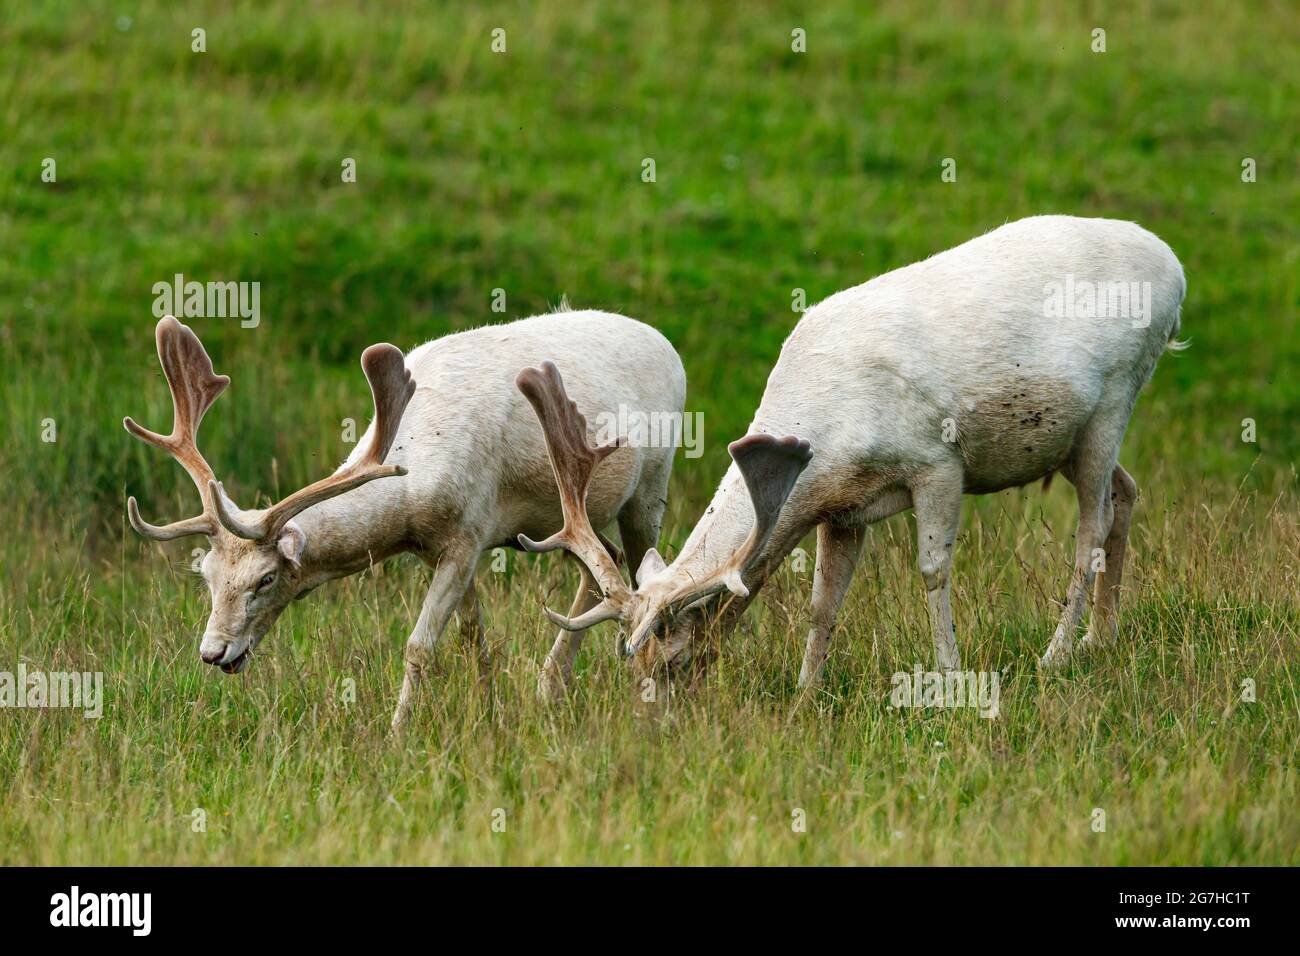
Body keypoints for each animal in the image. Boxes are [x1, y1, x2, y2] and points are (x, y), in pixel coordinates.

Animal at [124, 311, 685, 730]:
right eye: (206, 575)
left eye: (265, 579)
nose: (212, 652)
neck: (414, 490)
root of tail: (669, 345)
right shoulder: (451, 547)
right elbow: (474, 639)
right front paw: (489, 712)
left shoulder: (468, 535)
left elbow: (419, 647)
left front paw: (397, 734)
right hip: (566, 519)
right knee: (604, 558)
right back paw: (550, 688)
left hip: (652, 483)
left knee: (641, 564)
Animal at [518, 216, 1187, 687]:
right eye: (626, 660)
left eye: (671, 661)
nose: (650, 721)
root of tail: (1175, 268)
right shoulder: (841, 508)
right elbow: (822, 603)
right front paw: (805, 691)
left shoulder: (938, 462)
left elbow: (932, 571)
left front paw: (949, 674)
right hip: (1072, 439)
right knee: (1126, 491)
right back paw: (1100, 639)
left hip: (1115, 398)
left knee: (1091, 527)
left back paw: (1056, 654)